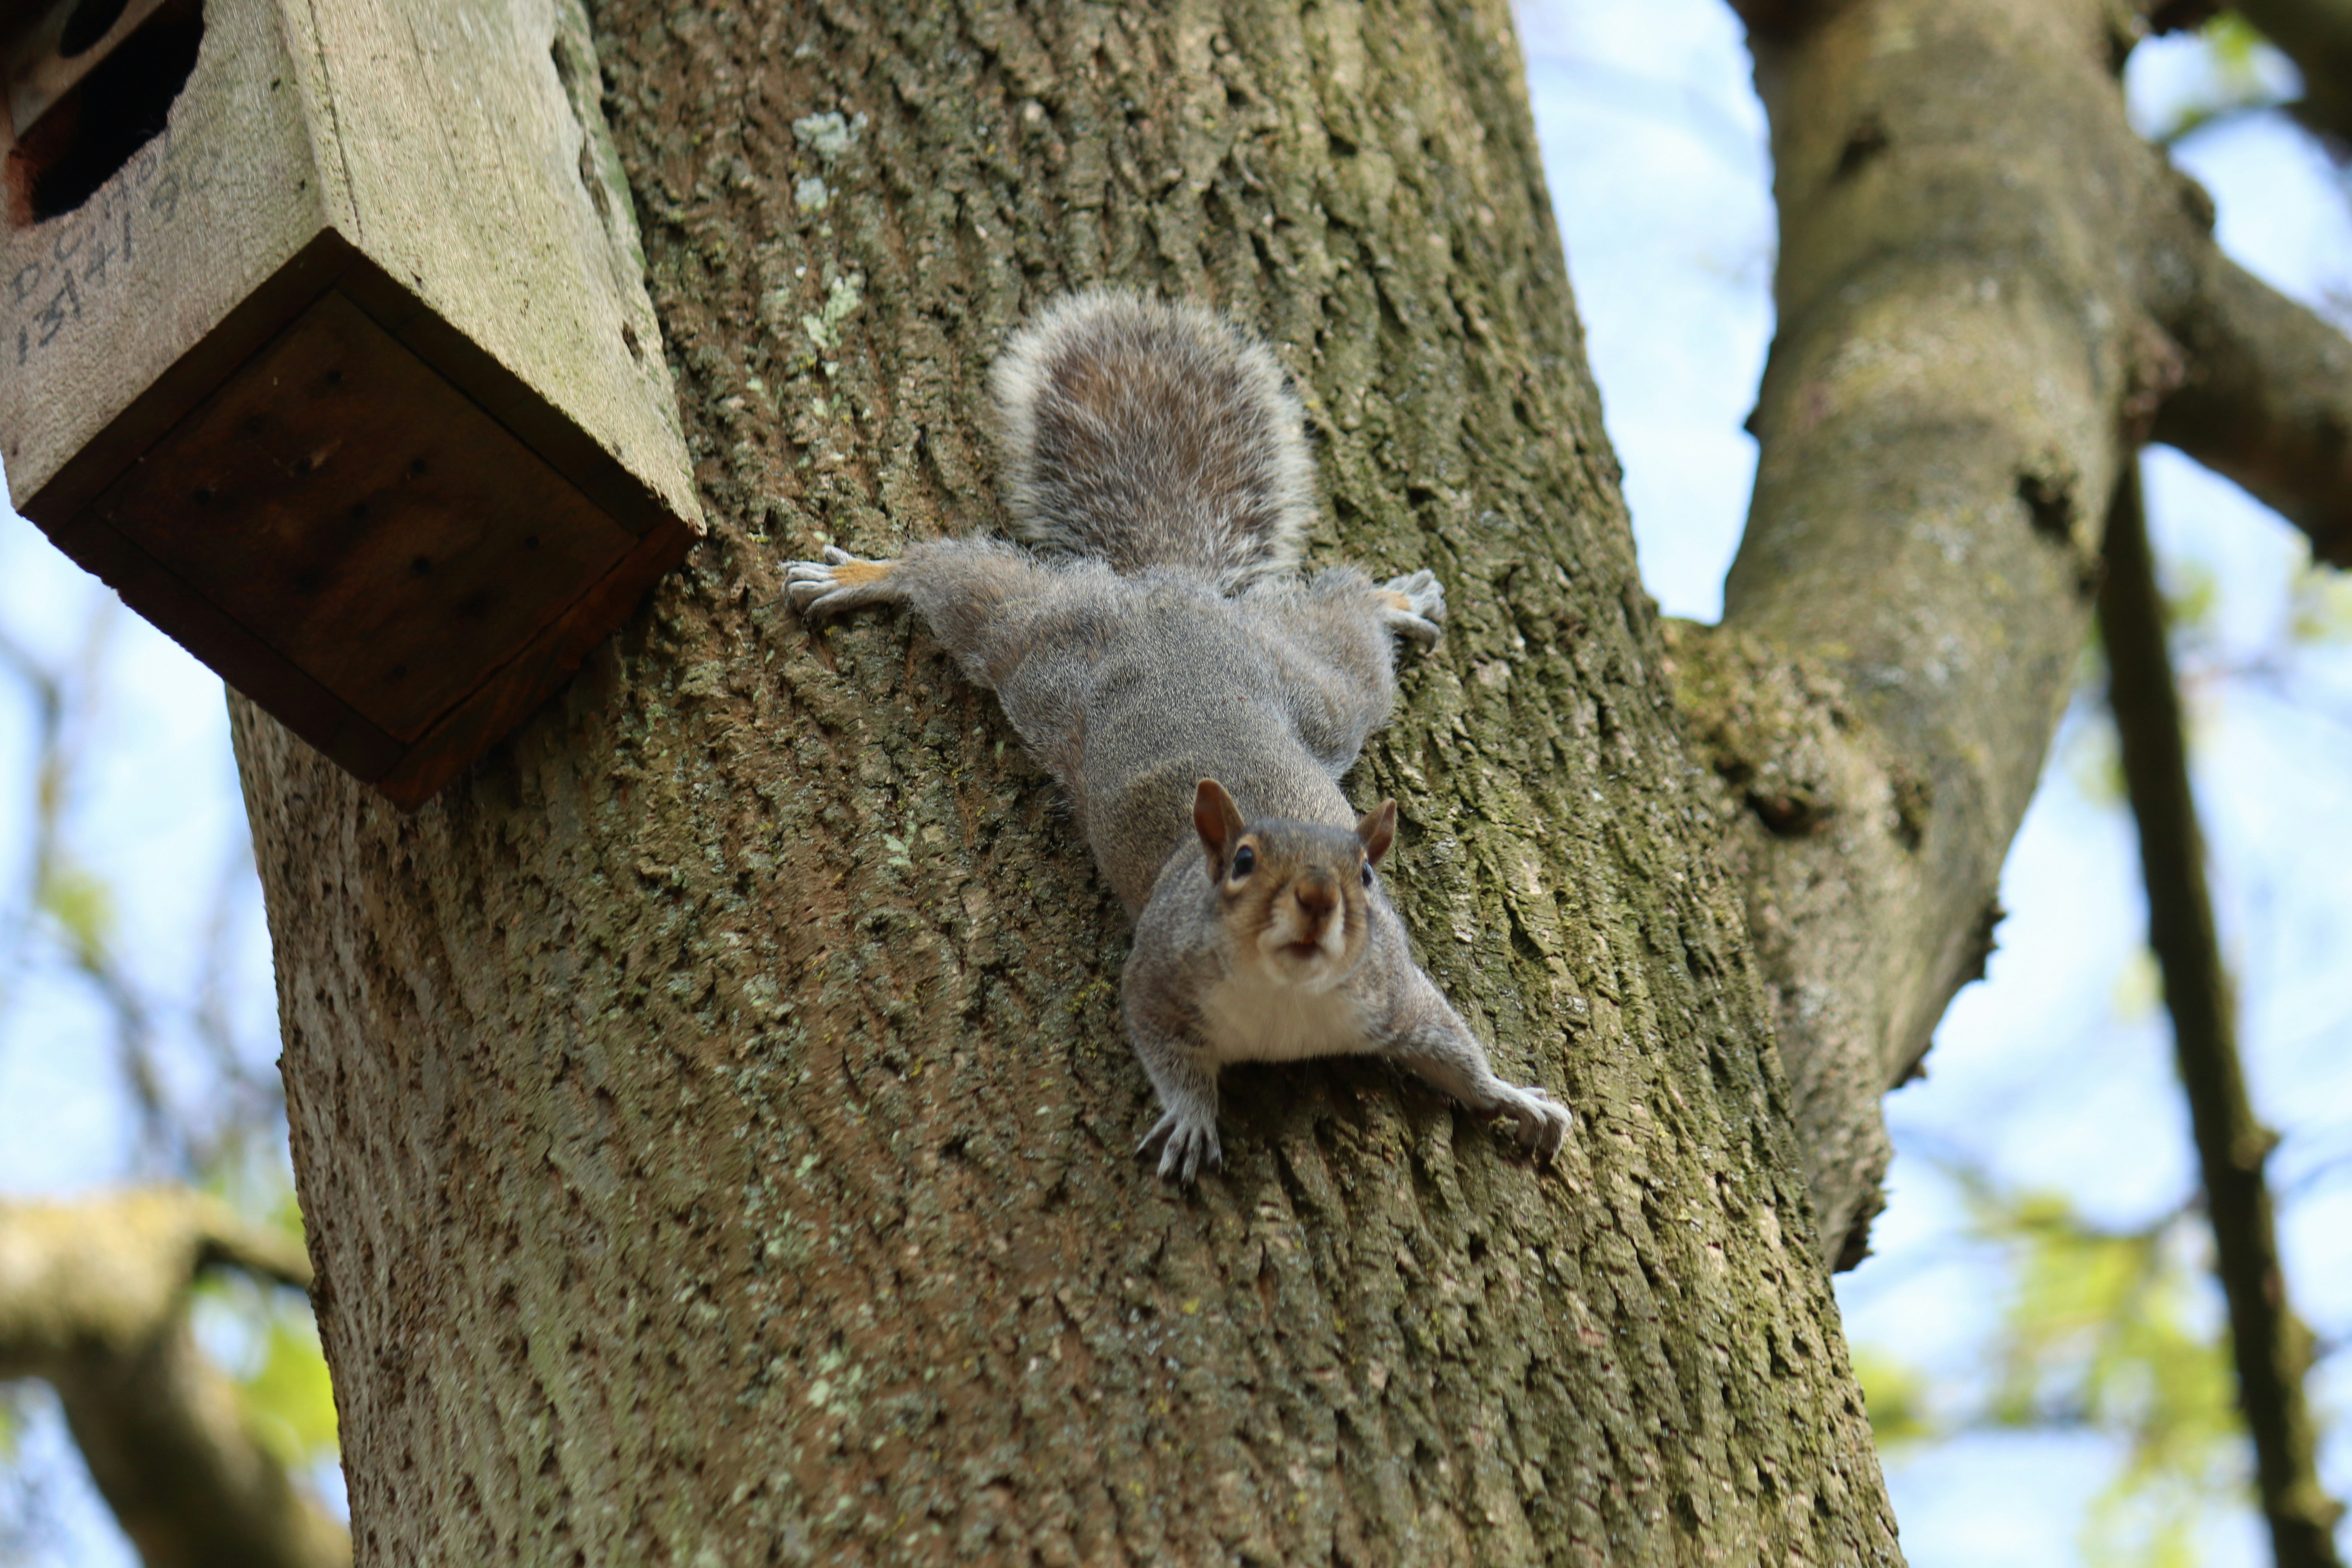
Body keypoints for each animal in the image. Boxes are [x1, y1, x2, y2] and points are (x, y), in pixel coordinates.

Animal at [785, 291, 1571, 1182]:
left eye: (1368, 875)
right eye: (1241, 863)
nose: (1316, 901)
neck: (1284, 992)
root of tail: (1175, 594)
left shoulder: (1391, 992)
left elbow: (1451, 1047)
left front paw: (1514, 1097)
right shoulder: (1156, 979)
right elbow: (1164, 1050)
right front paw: (1192, 1117)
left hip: (1315, 690)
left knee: (1344, 629)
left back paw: (1391, 600)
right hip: (1046, 648)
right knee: (963, 582)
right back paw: (866, 577)